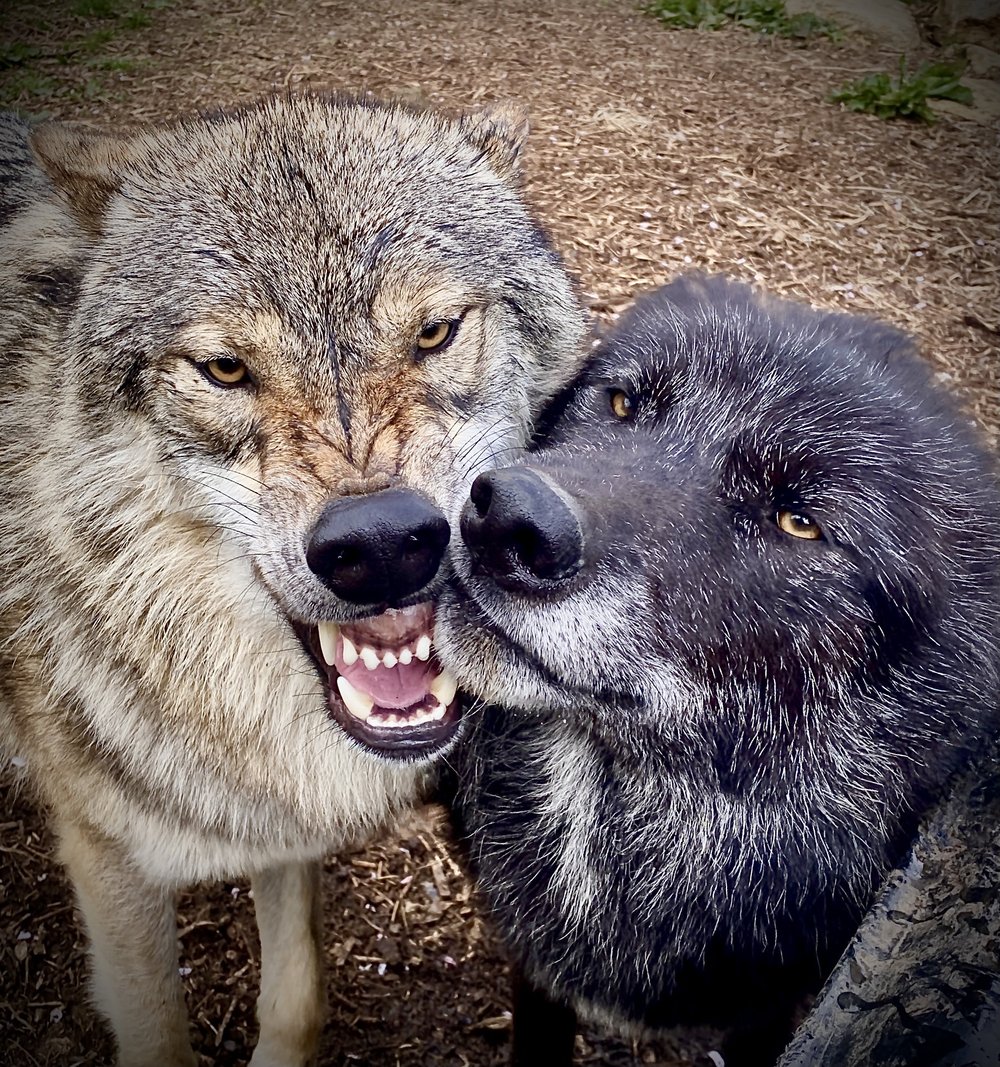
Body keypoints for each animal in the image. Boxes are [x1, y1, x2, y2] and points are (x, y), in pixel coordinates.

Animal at [0, 94, 585, 1067]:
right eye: (225, 368)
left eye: (435, 332)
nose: (383, 544)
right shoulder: (107, 856)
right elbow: (158, 1036)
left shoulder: (285, 824)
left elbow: (300, 993)